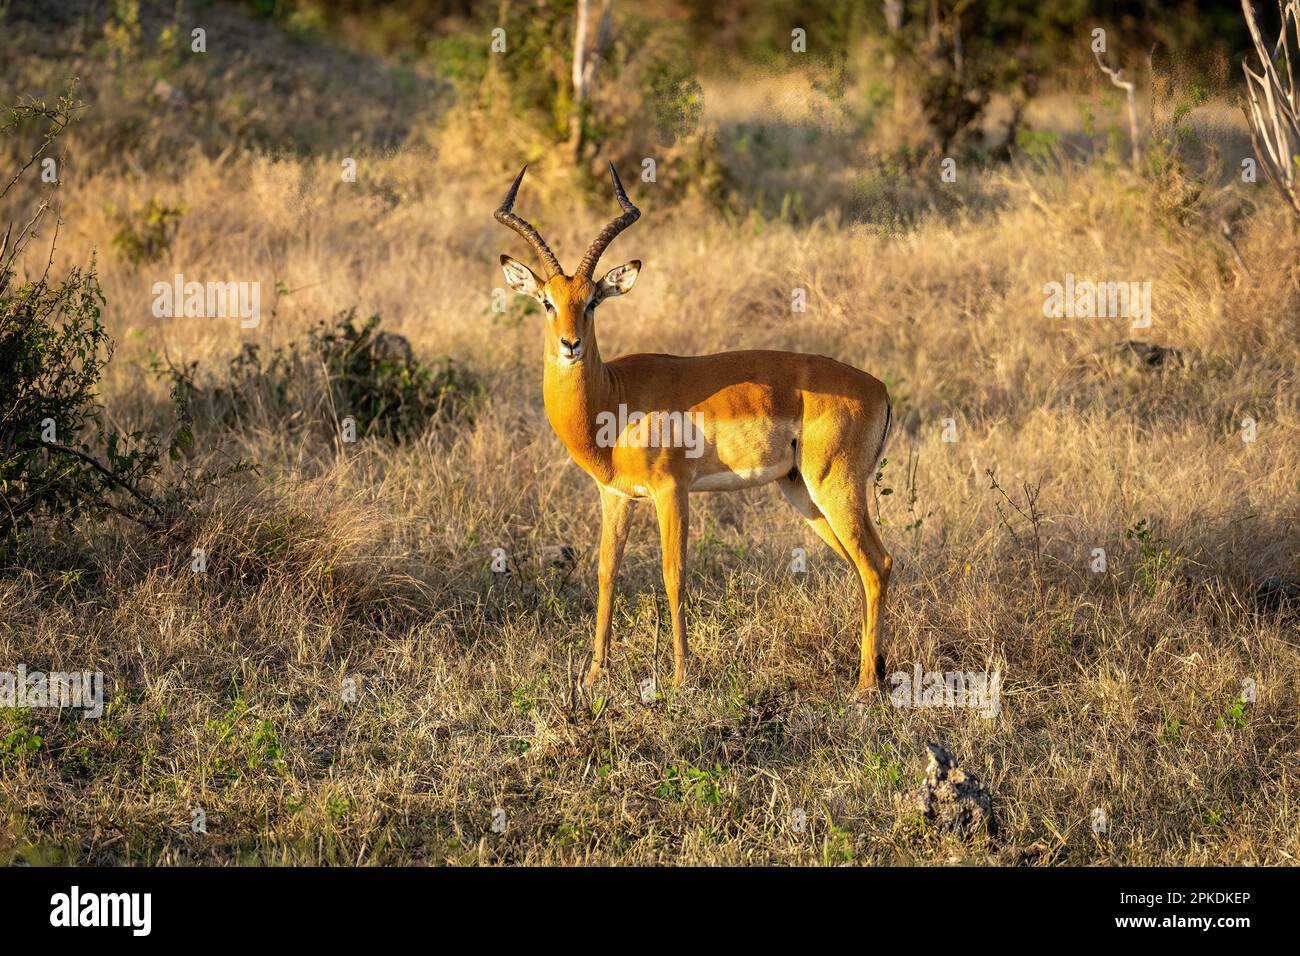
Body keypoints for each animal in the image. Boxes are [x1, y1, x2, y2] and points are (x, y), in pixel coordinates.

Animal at [496, 164, 894, 695]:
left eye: (593, 301)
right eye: (545, 301)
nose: (570, 344)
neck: (613, 397)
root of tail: (879, 389)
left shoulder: (671, 490)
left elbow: (674, 573)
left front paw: (682, 676)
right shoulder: (616, 495)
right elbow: (606, 571)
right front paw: (596, 672)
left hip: (836, 486)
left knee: (876, 564)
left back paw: (867, 685)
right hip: (803, 493)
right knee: (861, 567)